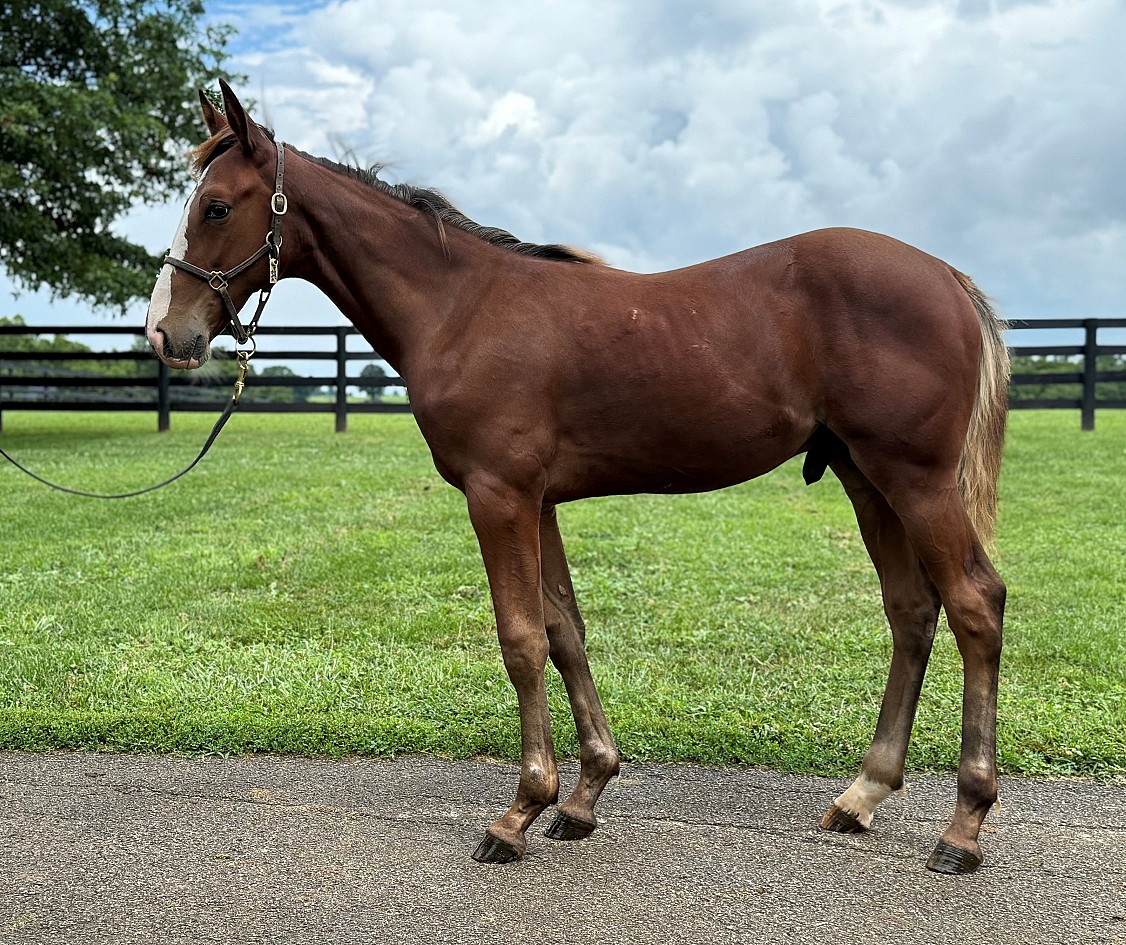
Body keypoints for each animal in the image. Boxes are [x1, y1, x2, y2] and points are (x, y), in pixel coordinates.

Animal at [146, 80, 1009, 875]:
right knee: (911, 610)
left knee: (974, 604)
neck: (462, 306)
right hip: (869, 479)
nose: (165, 333)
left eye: (216, 207)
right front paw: (585, 795)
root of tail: (947, 276)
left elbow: (521, 638)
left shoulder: (499, 497)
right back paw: (862, 795)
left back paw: (963, 827)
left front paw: (518, 811)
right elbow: (565, 632)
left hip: (917, 479)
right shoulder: (540, 502)